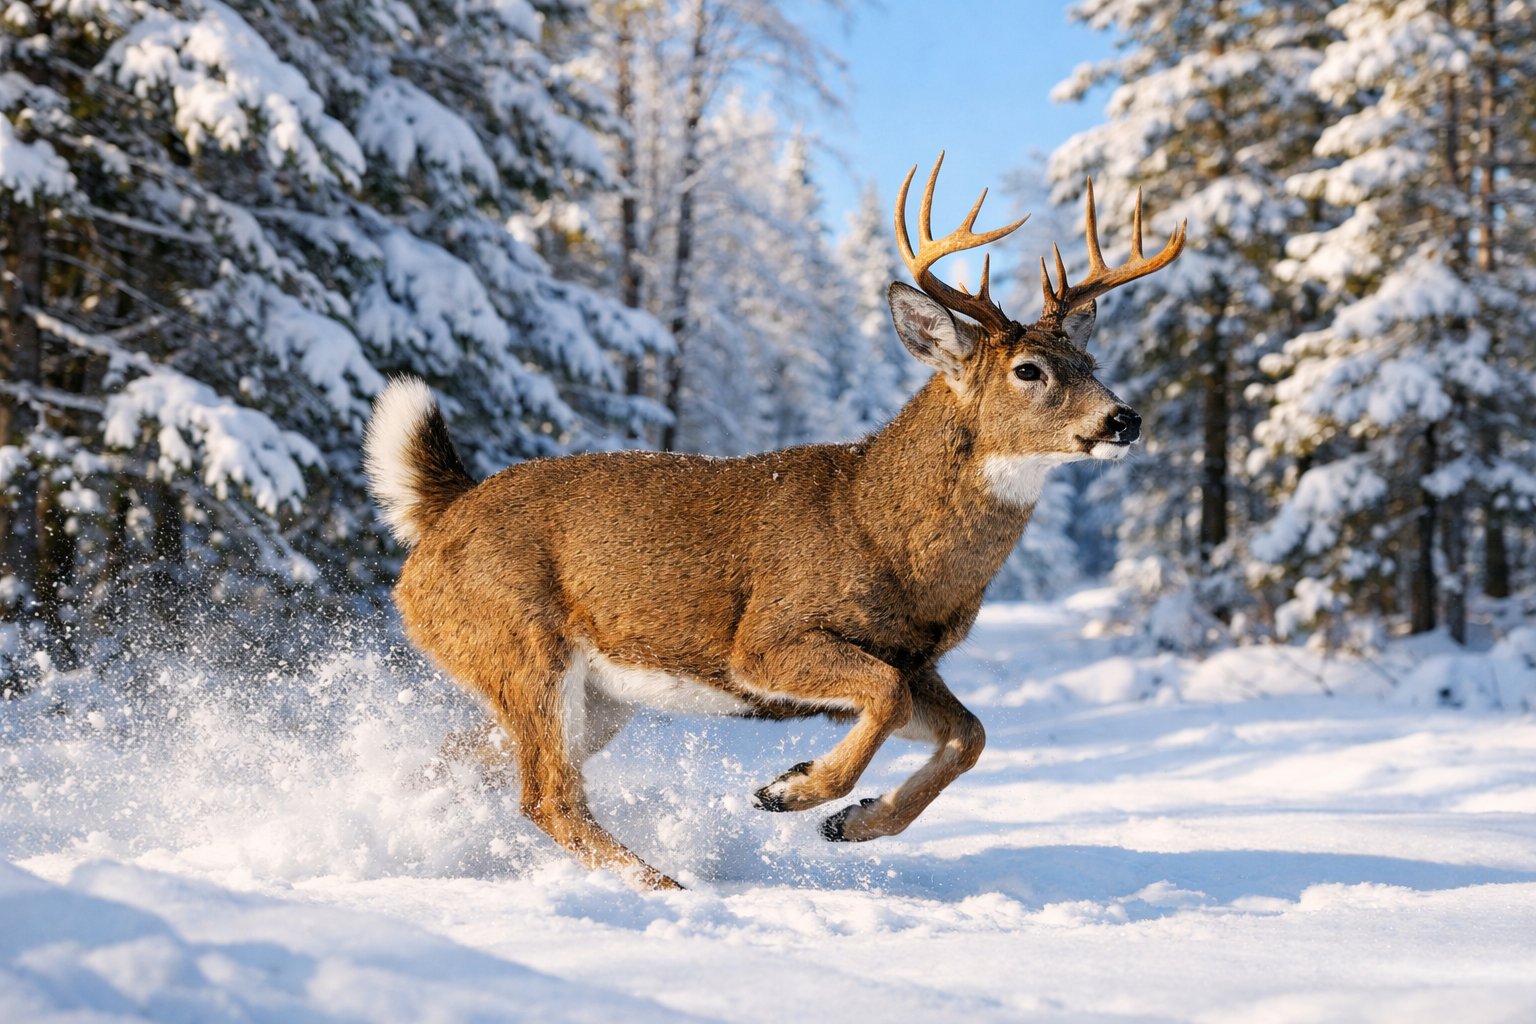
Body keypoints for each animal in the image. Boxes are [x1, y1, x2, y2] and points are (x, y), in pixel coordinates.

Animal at [364, 154, 1186, 891]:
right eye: (1029, 370)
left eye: (1090, 361)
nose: (1125, 418)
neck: (885, 533)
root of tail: (443, 514)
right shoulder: (765, 640)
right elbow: (886, 698)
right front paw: (789, 790)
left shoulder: (918, 658)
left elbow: (971, 734)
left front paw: (849, 820)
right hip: (520, 642)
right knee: (546, 796)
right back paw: (667, 886)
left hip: (588, 695)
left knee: (465, 764)